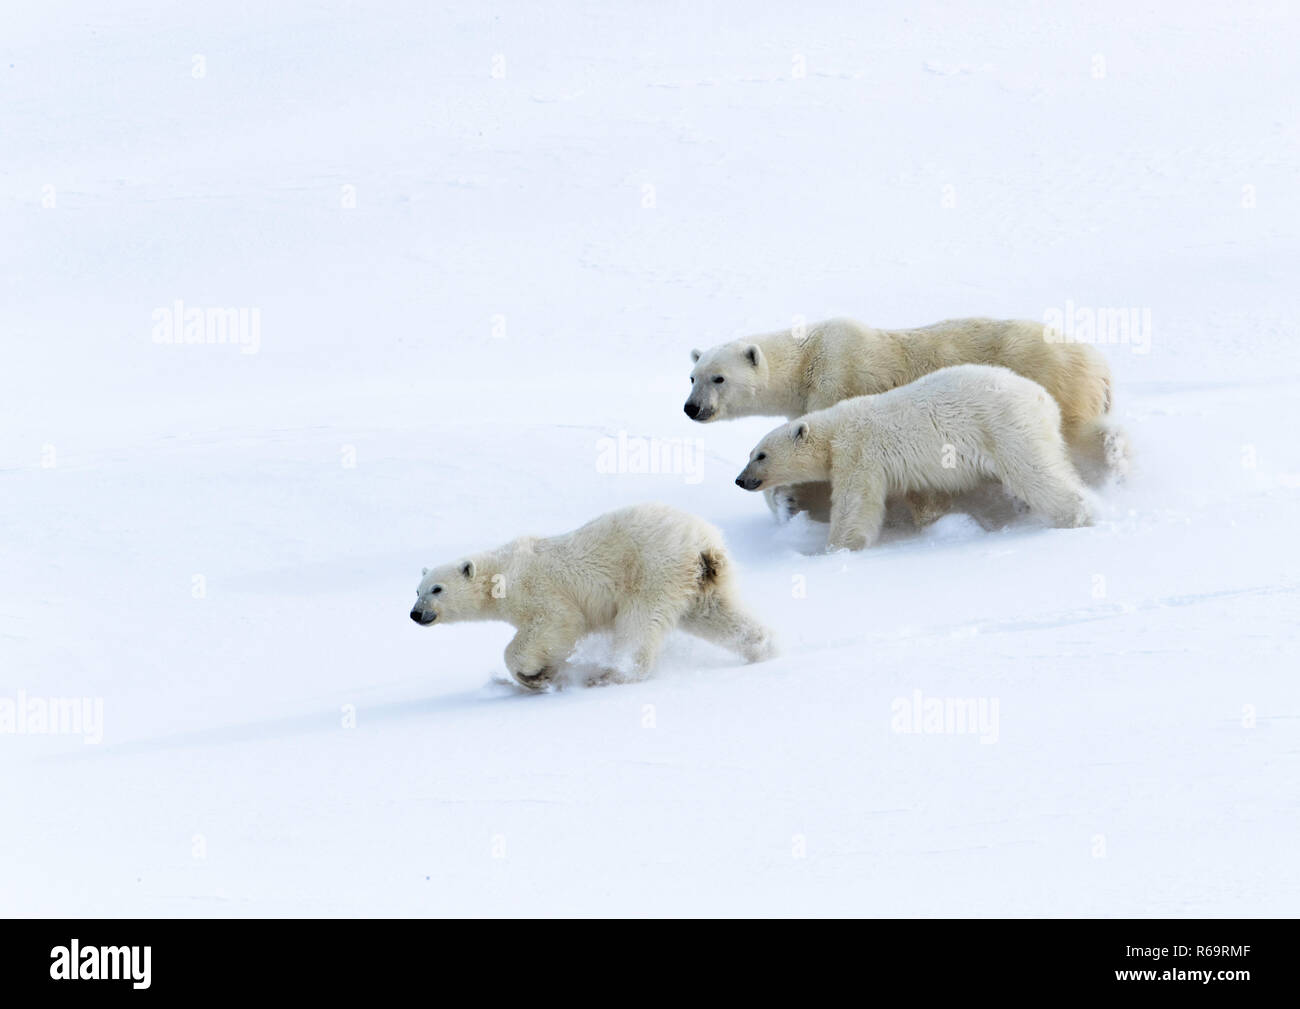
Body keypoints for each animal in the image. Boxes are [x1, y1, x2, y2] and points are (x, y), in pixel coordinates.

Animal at [409, 503, 776, 690]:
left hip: (654, 569)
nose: (415, 614)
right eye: (416, 590)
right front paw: (543, 675)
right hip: (701, 582)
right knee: (718, 614)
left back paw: (610, 674)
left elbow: (554, 625)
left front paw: (536, 676)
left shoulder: (538, 589)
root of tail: (705, 544)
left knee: (639, 622)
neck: (501, 571)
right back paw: (763, 648)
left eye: (436, 589)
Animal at [685, 316, 1128, 524]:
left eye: (718, 378)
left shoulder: (839, 381)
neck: (807, 359)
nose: (692, 408)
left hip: (1054, 380)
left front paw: (794, 500)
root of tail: (1100, 363)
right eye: (692, 376)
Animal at [733, 364, 1093, 552]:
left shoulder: (858, 451)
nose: (740, 480)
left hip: (1006, 427)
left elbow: (855, 502)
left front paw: (837, 549)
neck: (835, 428)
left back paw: (1078, 516)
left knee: (1033, 472)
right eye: (750, 453)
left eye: (761, 455)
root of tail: (1043, 399)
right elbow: (926, 497)